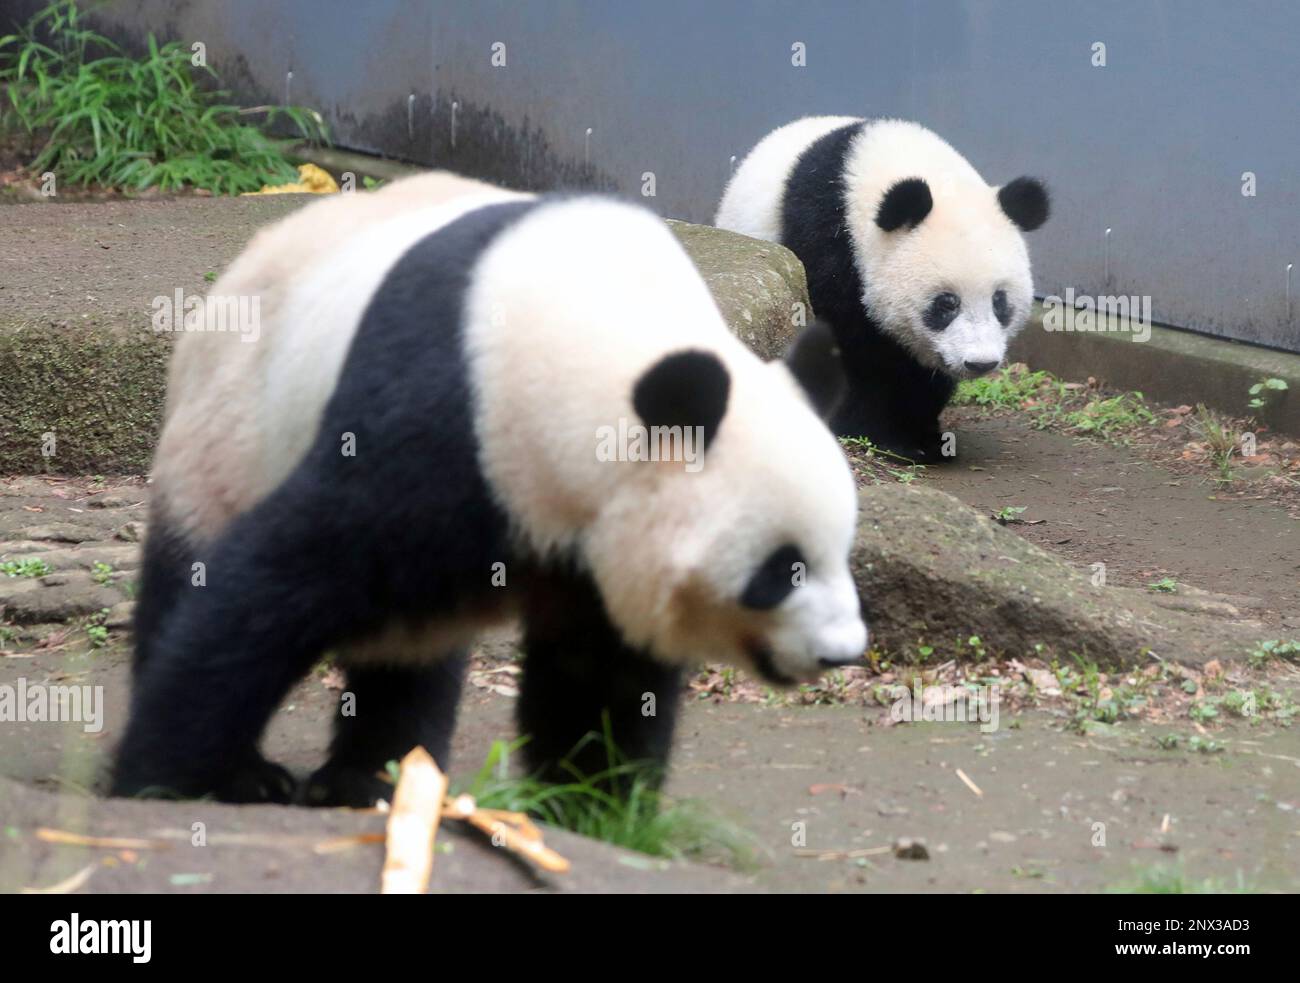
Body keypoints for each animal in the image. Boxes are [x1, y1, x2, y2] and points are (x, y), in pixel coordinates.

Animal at [111, 174, 869, 807]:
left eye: (840, 553)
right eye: (782, 569)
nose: (840, 651)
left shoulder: (592, 543)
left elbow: (599, 672)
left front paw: (593, 806)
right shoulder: (442, 420)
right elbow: (277, 582)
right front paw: (166, 773)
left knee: (408, 647)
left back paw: (373, 779)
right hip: (230, 425)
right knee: (195, 560)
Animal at [716, 116, 1050, 460]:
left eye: (999, 301)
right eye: (946, 303)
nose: (980, 362)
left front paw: (922, 434)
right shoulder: (825, 241)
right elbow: (845, 343)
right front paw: (874, 430)